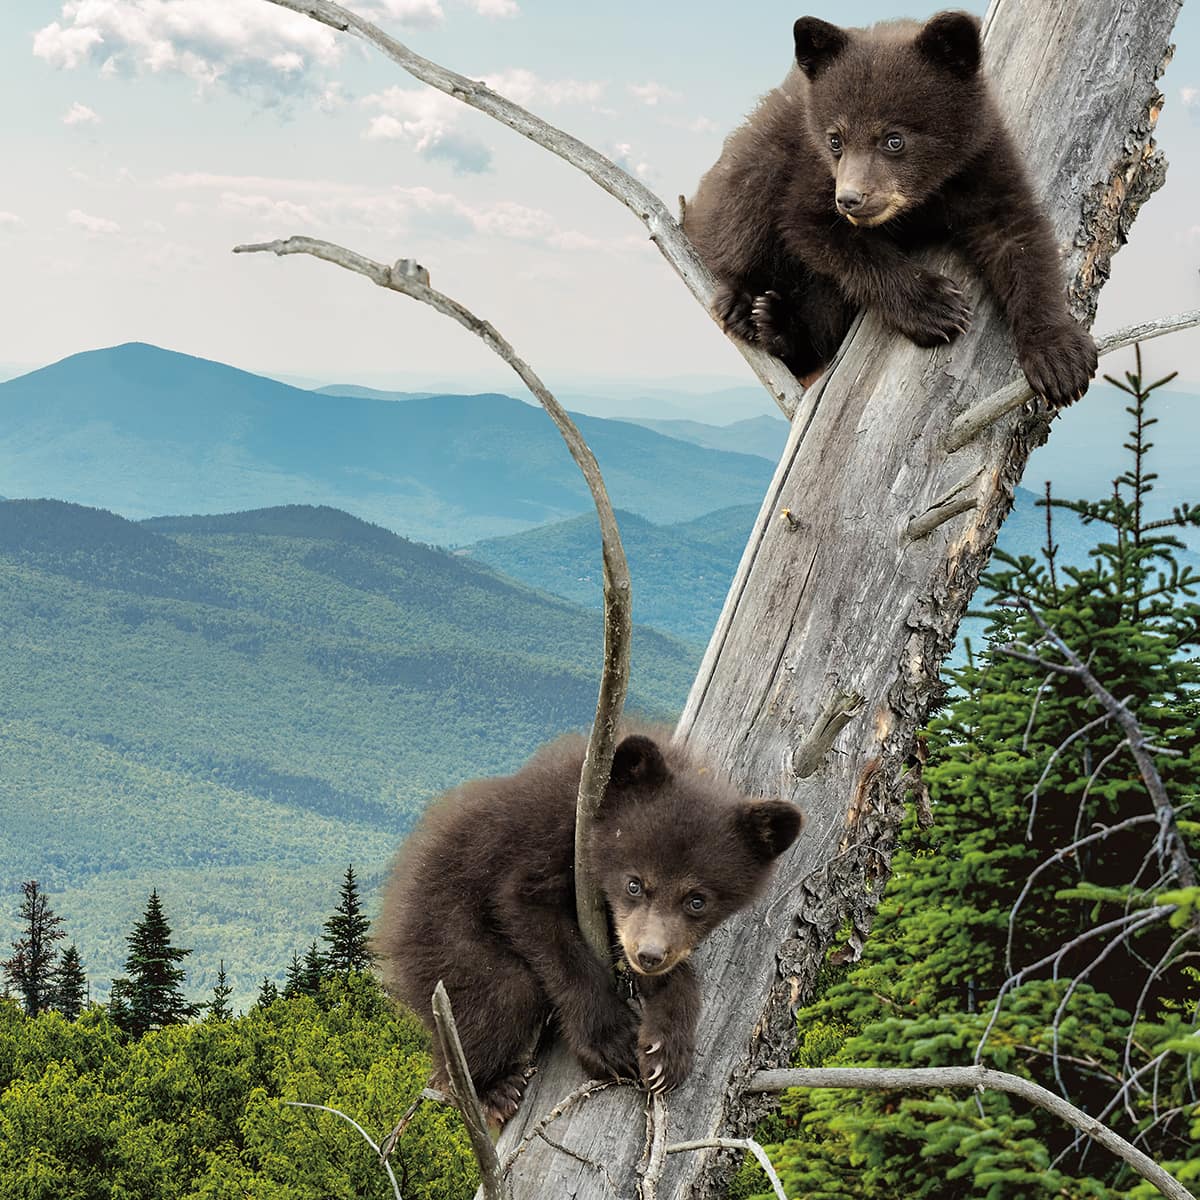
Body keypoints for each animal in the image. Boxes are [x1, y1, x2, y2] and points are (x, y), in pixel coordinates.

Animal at [375, 731, 802, 1124]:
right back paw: (491, 1089)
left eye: (697, 900)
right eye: (634, 883)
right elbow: (537, 921)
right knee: (502, 992)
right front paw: (611, 1042)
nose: (649, 956)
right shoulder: (546, 846)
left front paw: (667, 1049)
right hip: (443, 930)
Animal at [683, 10, 1098, 405]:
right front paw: (935, 307)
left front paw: (1058, 356)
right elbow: (820, 231)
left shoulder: (981, 161)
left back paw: (776, 326)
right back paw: (745, 308)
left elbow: (1020, 240)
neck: (923, 198)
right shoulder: (813, 176)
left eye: (894, 139)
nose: (850, 199)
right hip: (750, 173)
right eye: (835, 140)